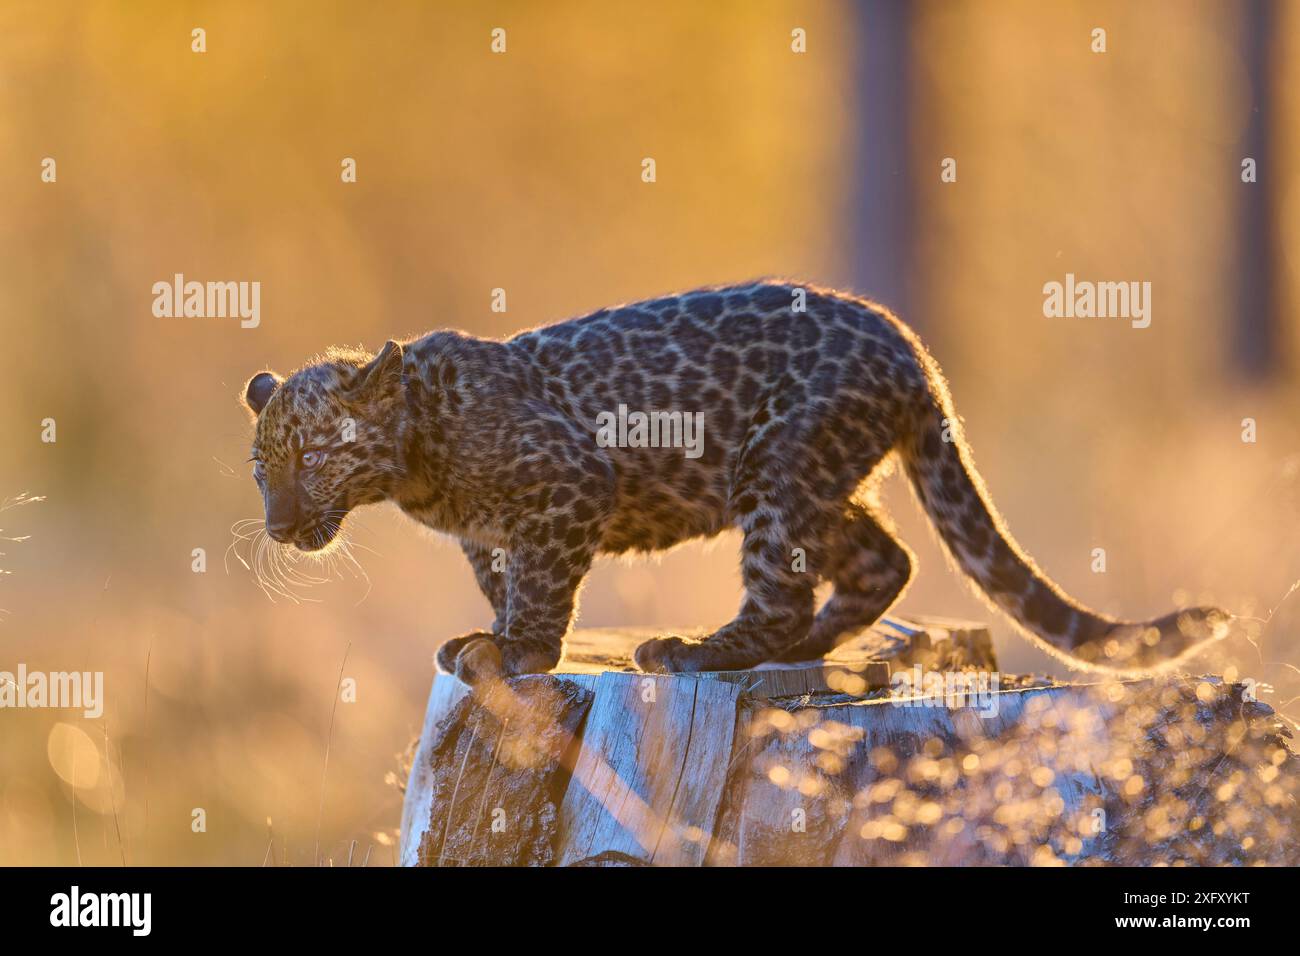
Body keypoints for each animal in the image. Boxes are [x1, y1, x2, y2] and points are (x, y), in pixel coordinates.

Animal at [240, 280, 1231, 683]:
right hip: (813, 478)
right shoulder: (491, 533)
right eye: (262, 471)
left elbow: (542, 585)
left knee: (788, 593)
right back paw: (809, 651)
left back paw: (700, 651)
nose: (281, 527)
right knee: (885, 560)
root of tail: (914, 352)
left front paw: (520, 653)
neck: (414, 460)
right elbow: (504, 577)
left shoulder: (569, 486)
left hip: (778, 468)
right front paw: (490, 636)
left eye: (316, 457)